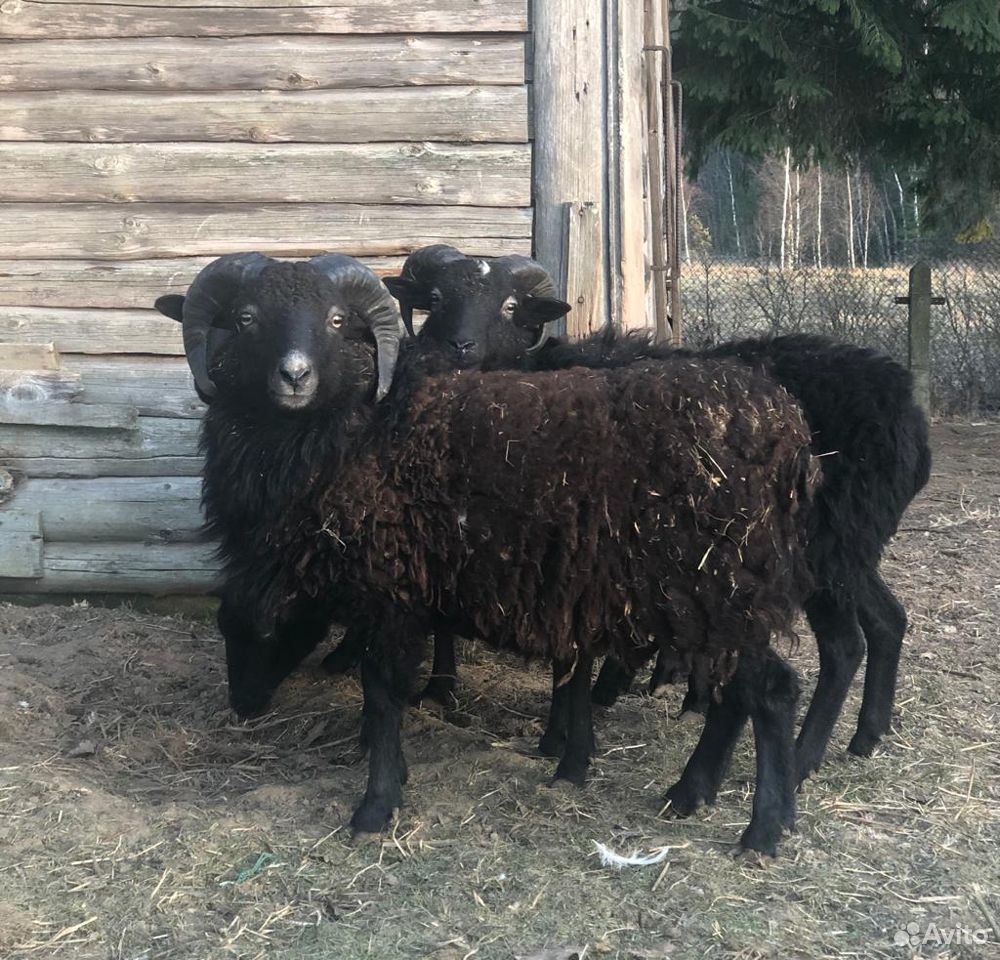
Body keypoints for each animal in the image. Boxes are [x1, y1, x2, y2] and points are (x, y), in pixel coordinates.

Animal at [156, 252, 819, 854]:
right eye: (246, 318)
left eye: (338, 320)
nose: (294, 375)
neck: (357, 424)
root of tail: (783, 423)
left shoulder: (389, 589)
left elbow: (383, 691)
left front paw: (375, 806)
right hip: (707, 599)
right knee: (737, 692)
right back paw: (692, 794)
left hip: (717, 587)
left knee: (774, 690)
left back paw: (763, 829)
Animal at [384, 245, 931, 783]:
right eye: (436, 298)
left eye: (510, 305)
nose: (459, 347)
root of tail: (907, 408)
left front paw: (560, 740)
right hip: (849, 549)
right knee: (887, 620)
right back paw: (866, 736)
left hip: (819, 551)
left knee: (843, 646)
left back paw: (800, 759)